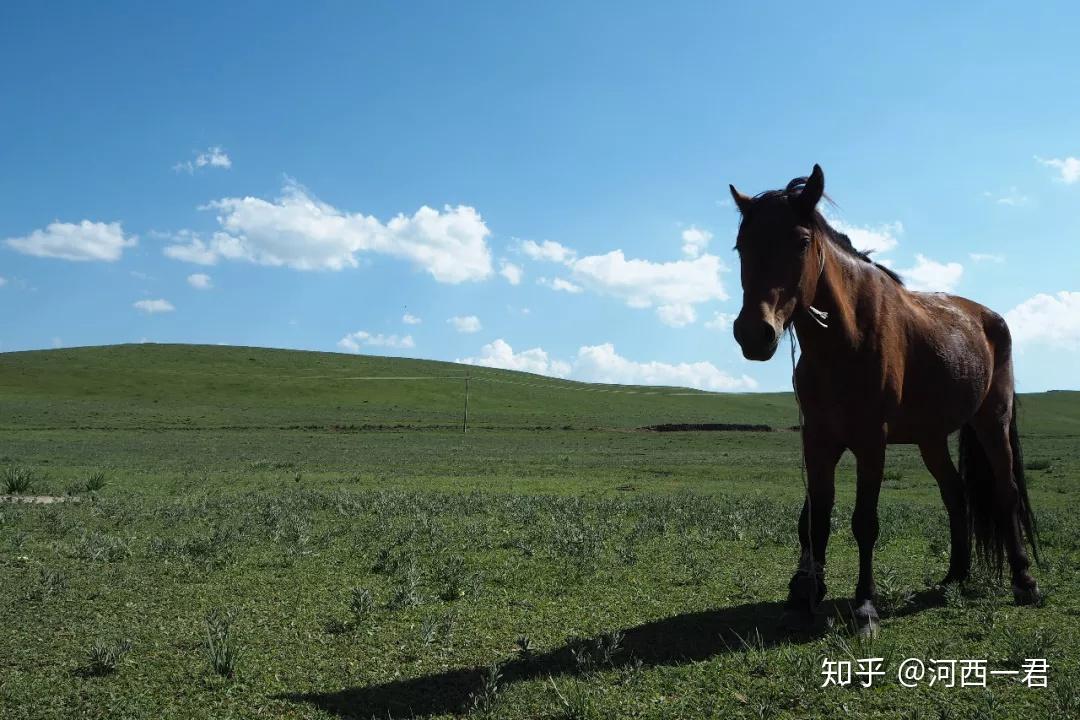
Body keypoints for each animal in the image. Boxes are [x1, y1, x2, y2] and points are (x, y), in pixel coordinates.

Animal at [728, 165, 1040, 635]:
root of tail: (989, 318)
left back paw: (1024, 580)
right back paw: (955, 575)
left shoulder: (871, 441)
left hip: (992, 422)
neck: (845, 338)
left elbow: (864, 522)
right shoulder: (818, 440)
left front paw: (865, 606)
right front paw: (802, 596)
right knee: (955, 494)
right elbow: (814, 519)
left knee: (1006, 491)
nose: (753, 332)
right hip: (931, 439)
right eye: (741, 246)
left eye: (800, 241)